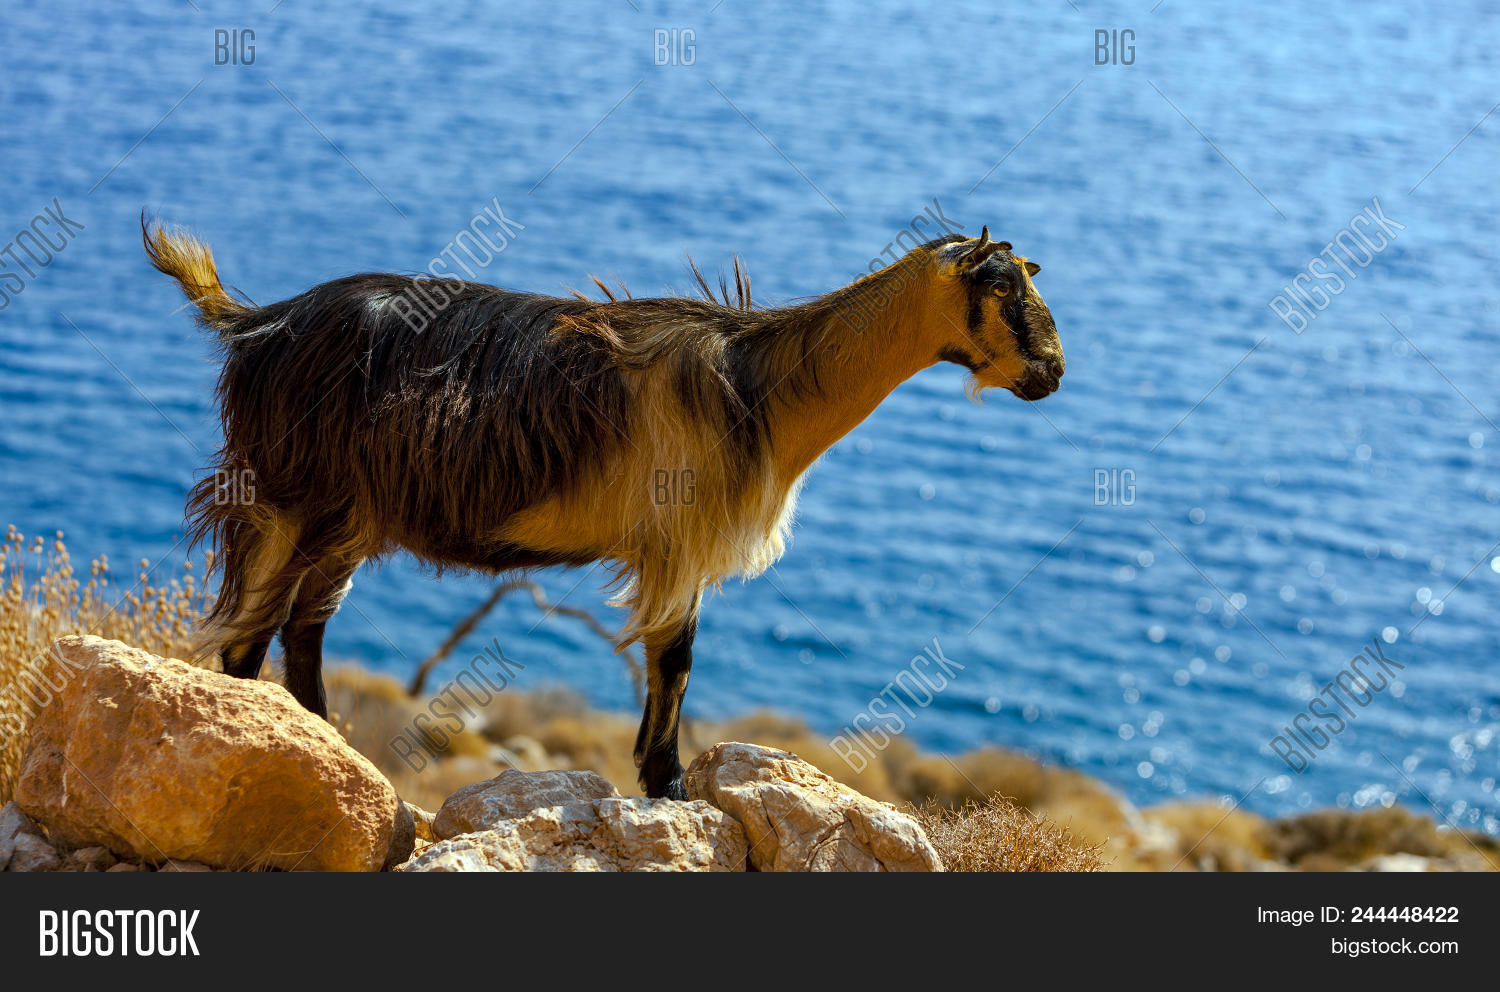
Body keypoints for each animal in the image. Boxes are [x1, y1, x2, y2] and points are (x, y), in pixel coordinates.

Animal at [143, 218, 1064, 799]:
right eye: (1002, 292)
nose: (1052, 372)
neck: (759, 388)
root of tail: (258, 323)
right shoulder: (679, 544)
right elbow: (676, 660)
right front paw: (669, 781)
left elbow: (671, 660)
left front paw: (660, 774)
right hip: (289, 501)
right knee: (250, 638)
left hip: (349, 519)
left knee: (302, 628)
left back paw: (330, 740)